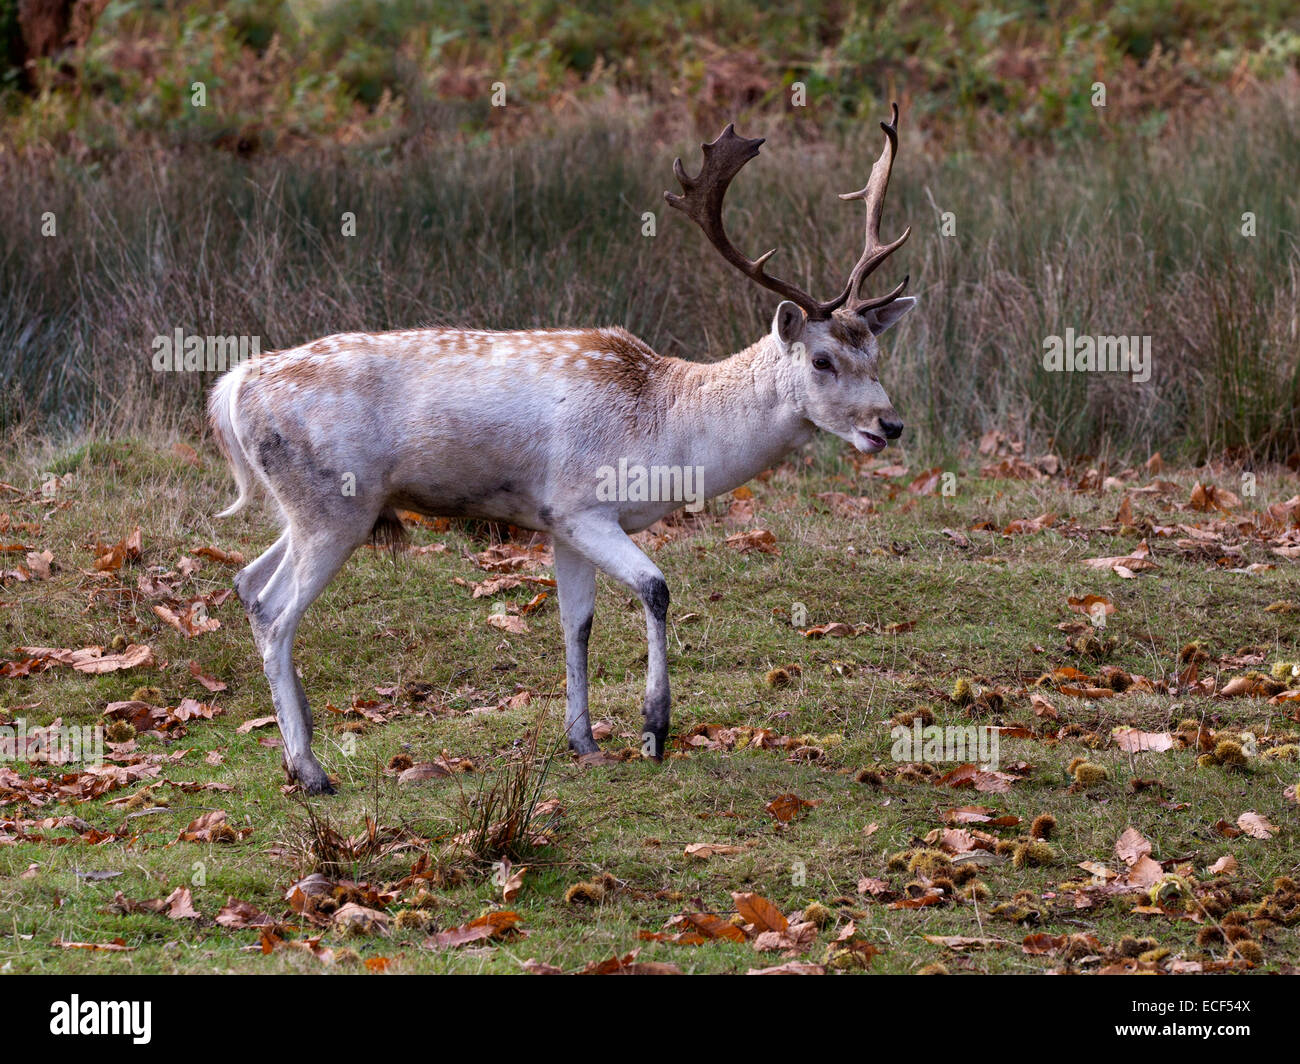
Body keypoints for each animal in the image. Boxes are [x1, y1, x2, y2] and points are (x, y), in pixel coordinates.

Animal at [209, 105, 916, 794]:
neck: (668, 433)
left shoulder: (558, 523)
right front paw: (654, 730)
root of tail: (233, 387)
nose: (890, 425)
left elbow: (576, 622)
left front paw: (584, 741)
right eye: (822, 360)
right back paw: (311, 771)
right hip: (333, 507)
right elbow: (656, 588)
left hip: (312, 508)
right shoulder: (581, 504)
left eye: (876, 353)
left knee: (247, 581)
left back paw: (294, 756)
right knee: (276, 612)